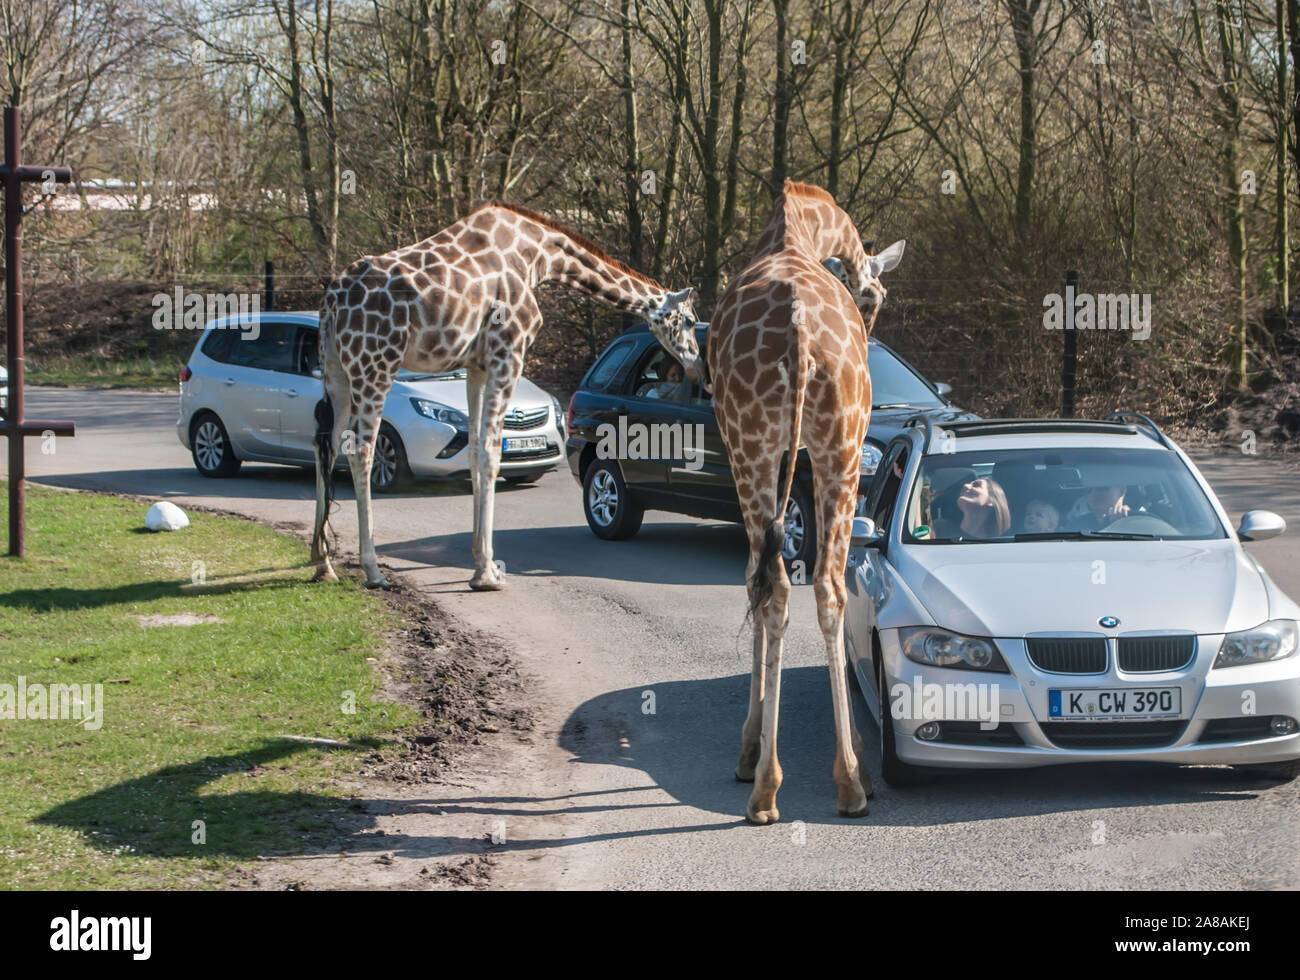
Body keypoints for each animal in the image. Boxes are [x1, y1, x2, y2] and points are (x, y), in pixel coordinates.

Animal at [310, 202, 703, 591]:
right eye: (687, 321)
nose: (697, 365)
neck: (538, 255)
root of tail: (332, 299)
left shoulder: (477, 364)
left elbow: (475, 450)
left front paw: (481, 564)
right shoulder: (509, 353)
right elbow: (491, 452)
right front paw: (487, 573)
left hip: (335, 369)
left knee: (324, 443)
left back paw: (322, 561)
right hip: (376, 364)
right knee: (360, 449)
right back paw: (372, 570)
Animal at [708, 180, 905, 824]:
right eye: (874, 293)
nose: (872, 324)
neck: (800, 230)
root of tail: (798, 336)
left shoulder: (755, 449)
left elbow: (754, 577)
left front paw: (747, 750)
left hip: (755, 443)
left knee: (775, 584)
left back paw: (766, 788)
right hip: (838, 444)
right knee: (827, 586)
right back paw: (851, 780)